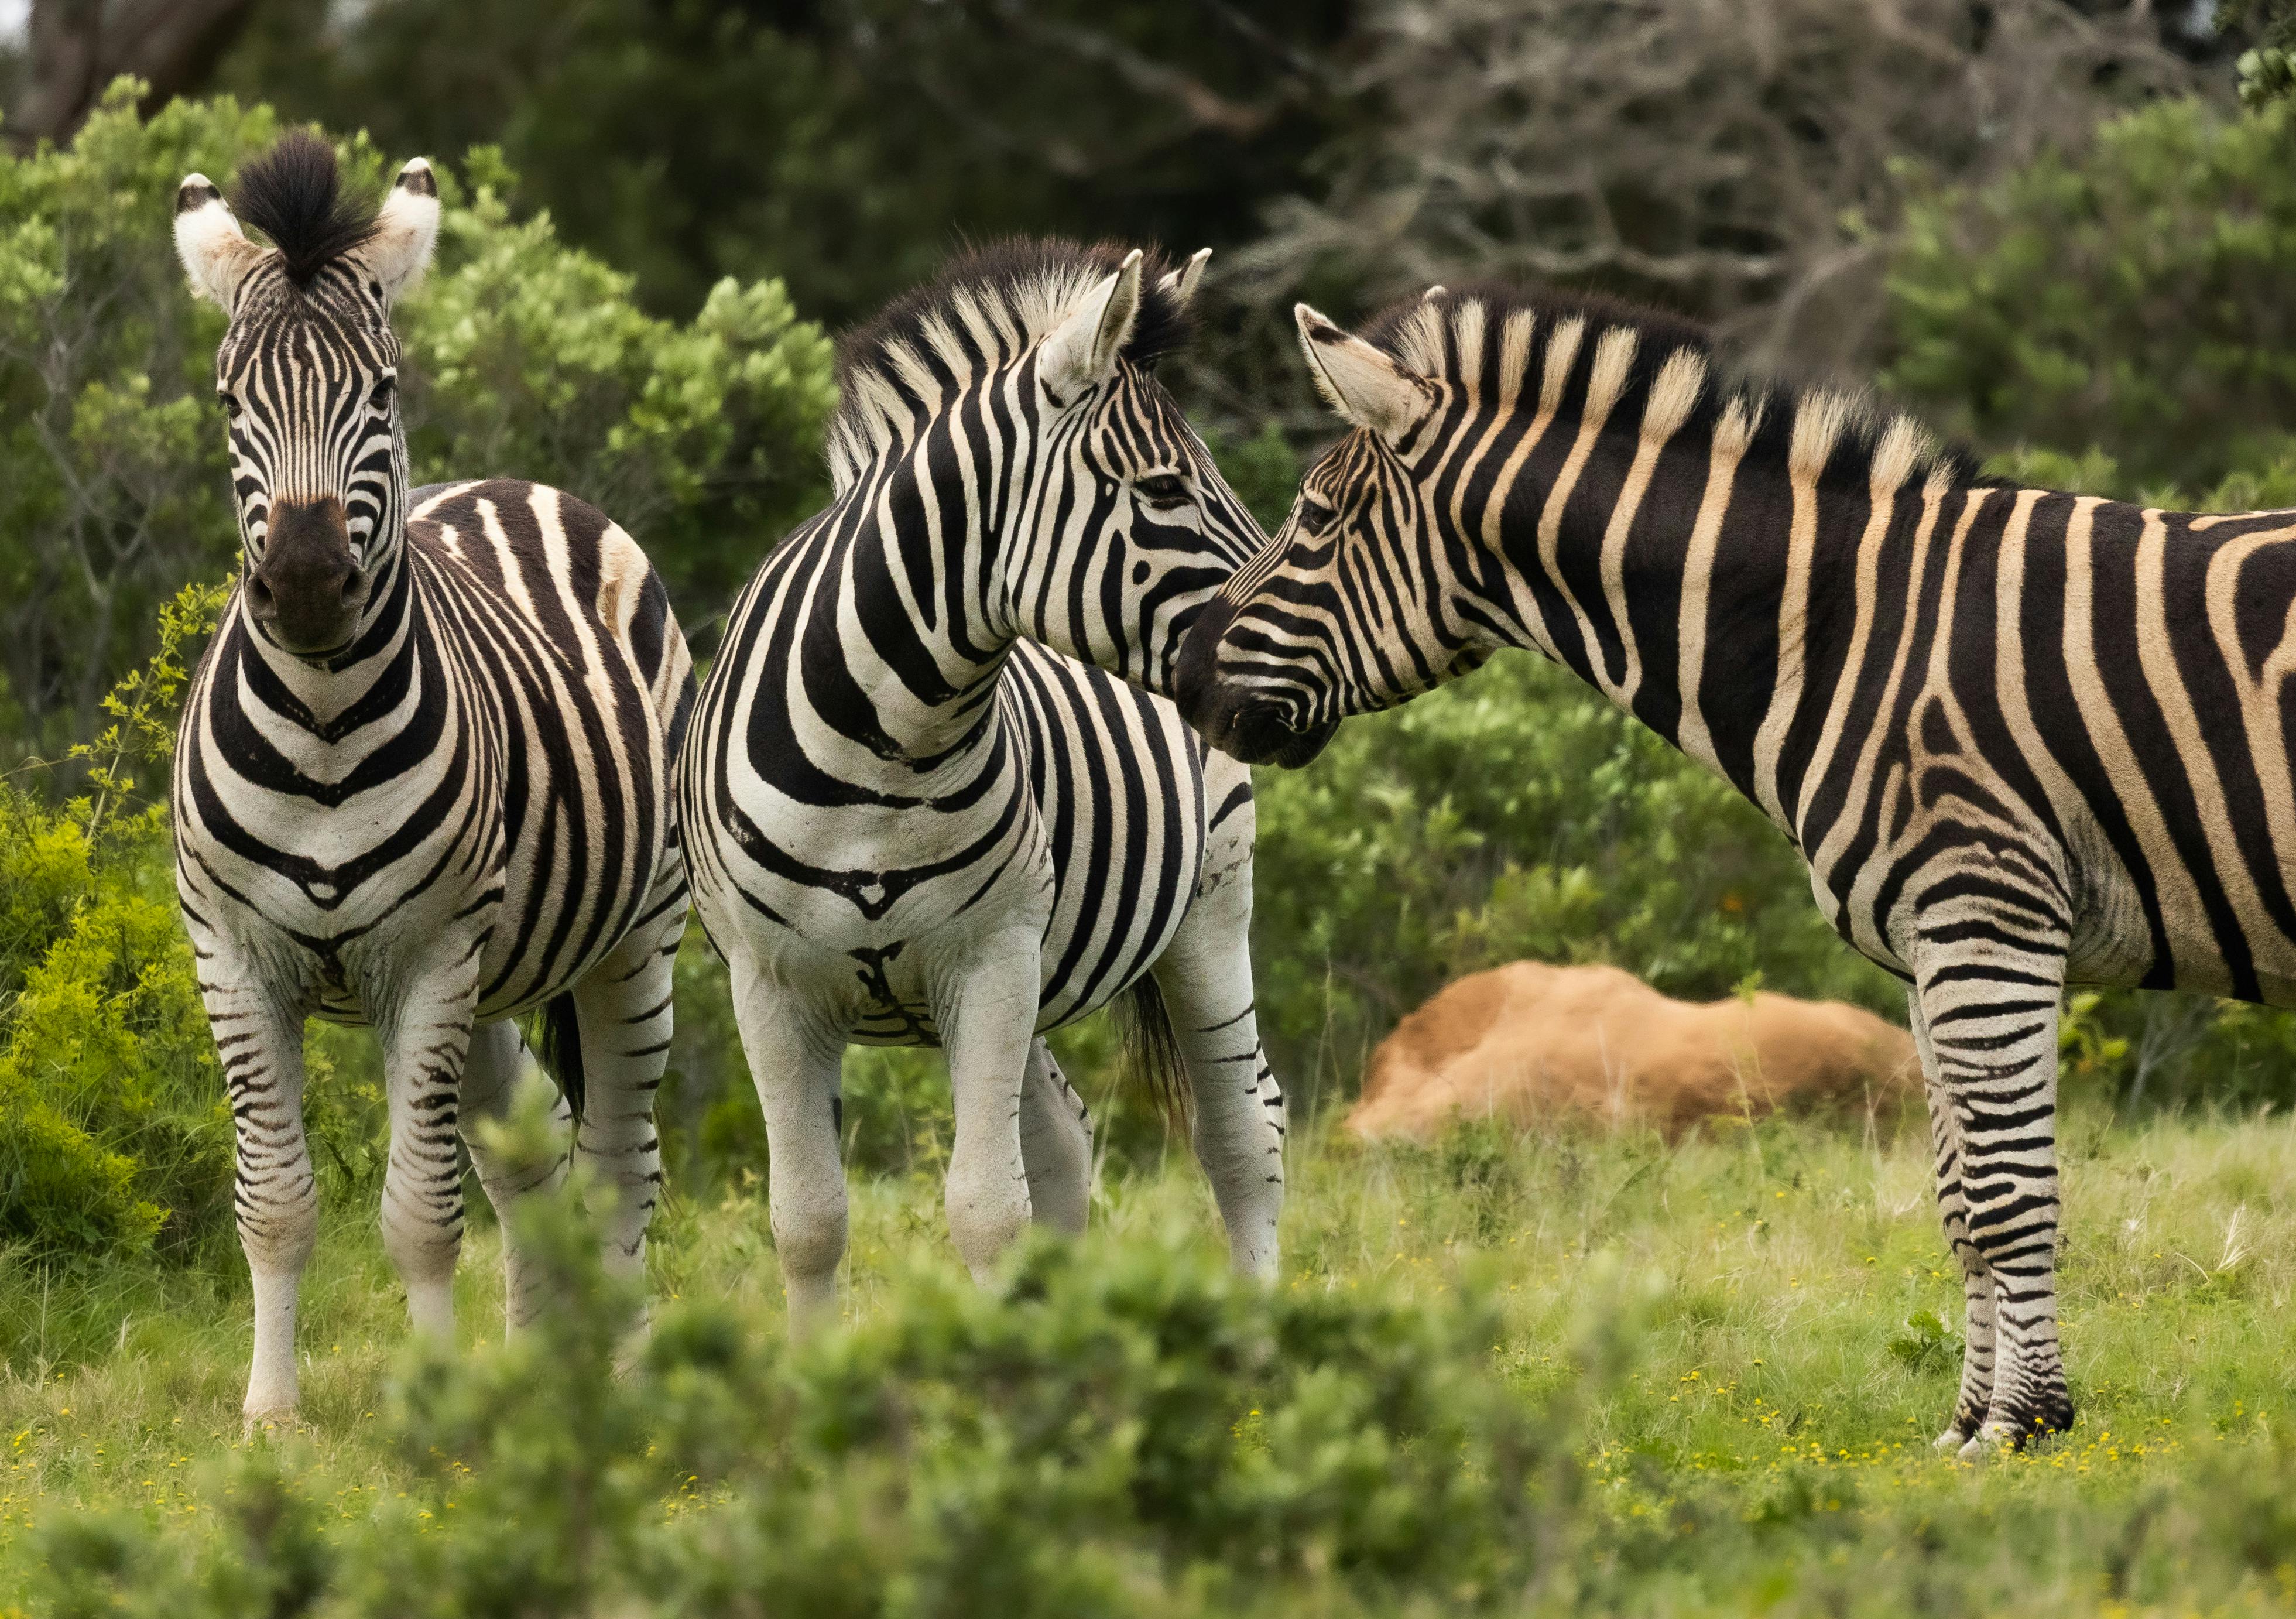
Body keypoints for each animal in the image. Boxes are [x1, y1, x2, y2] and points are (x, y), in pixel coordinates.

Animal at [170, 133, 693, 1422]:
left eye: (384, 392)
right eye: (229, 401)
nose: (310, 579)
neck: (321, 728)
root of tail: (511, 484)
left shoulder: (429, 952)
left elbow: (419, 1214)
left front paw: (439, 1402)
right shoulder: (231, 953)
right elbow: (276, 1202)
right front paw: (271, 1415)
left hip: (634, 936)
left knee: (619, 1159)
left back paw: (624, 1372)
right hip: (505, 971)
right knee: (535, 1152)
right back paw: (541, 1361)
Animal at [681, 239, 1287, 1325]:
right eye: (1163, 491)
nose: (1275, 671)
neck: (882, 750)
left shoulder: (992, 953)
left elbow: (985, 1210)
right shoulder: (769, 983)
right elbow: (809, 1220)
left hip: (1209, 907)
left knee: (1240, 1131)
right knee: (1064, 1145)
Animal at [1178, 282, 2296, 1458]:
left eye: (1313, 521)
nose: (1185, 674)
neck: (1845, 633)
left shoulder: (1984, 912)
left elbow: (2006, 1196)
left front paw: (2021, 1428)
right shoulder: (1929, 946)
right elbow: (1956, 1199)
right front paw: (1964, 1428)